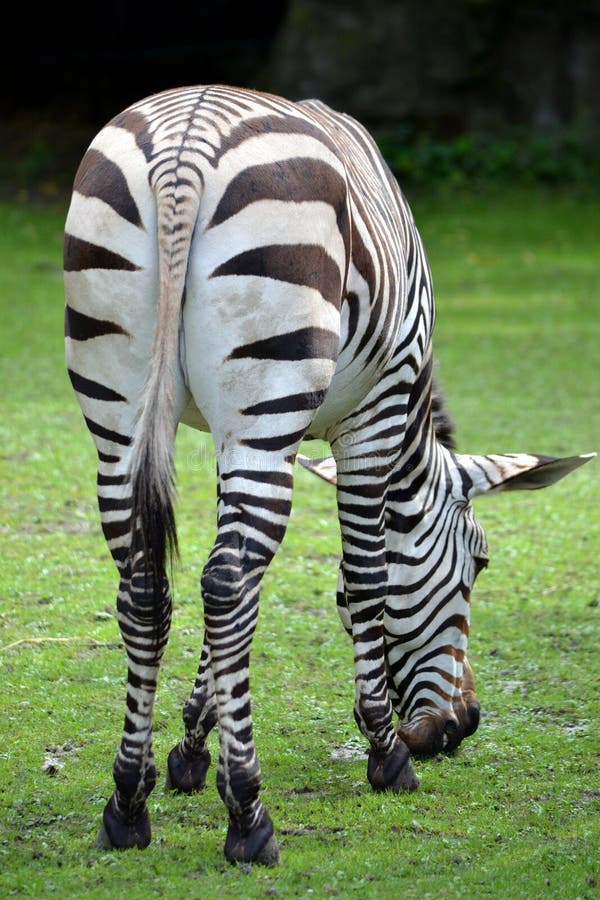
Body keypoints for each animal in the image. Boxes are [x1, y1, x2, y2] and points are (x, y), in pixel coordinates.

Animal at [63, 84, 593, 864]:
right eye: (480, 563)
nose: (459, 728)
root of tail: (188, 141)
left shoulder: (228, 432)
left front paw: (191, 746)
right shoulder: (373, 413)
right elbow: (367, 577)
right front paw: (384, 751)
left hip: (124, 409)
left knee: (149, 583)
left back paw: (128, 803)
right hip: (268, 375)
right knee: (227, 582)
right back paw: (249, 817)